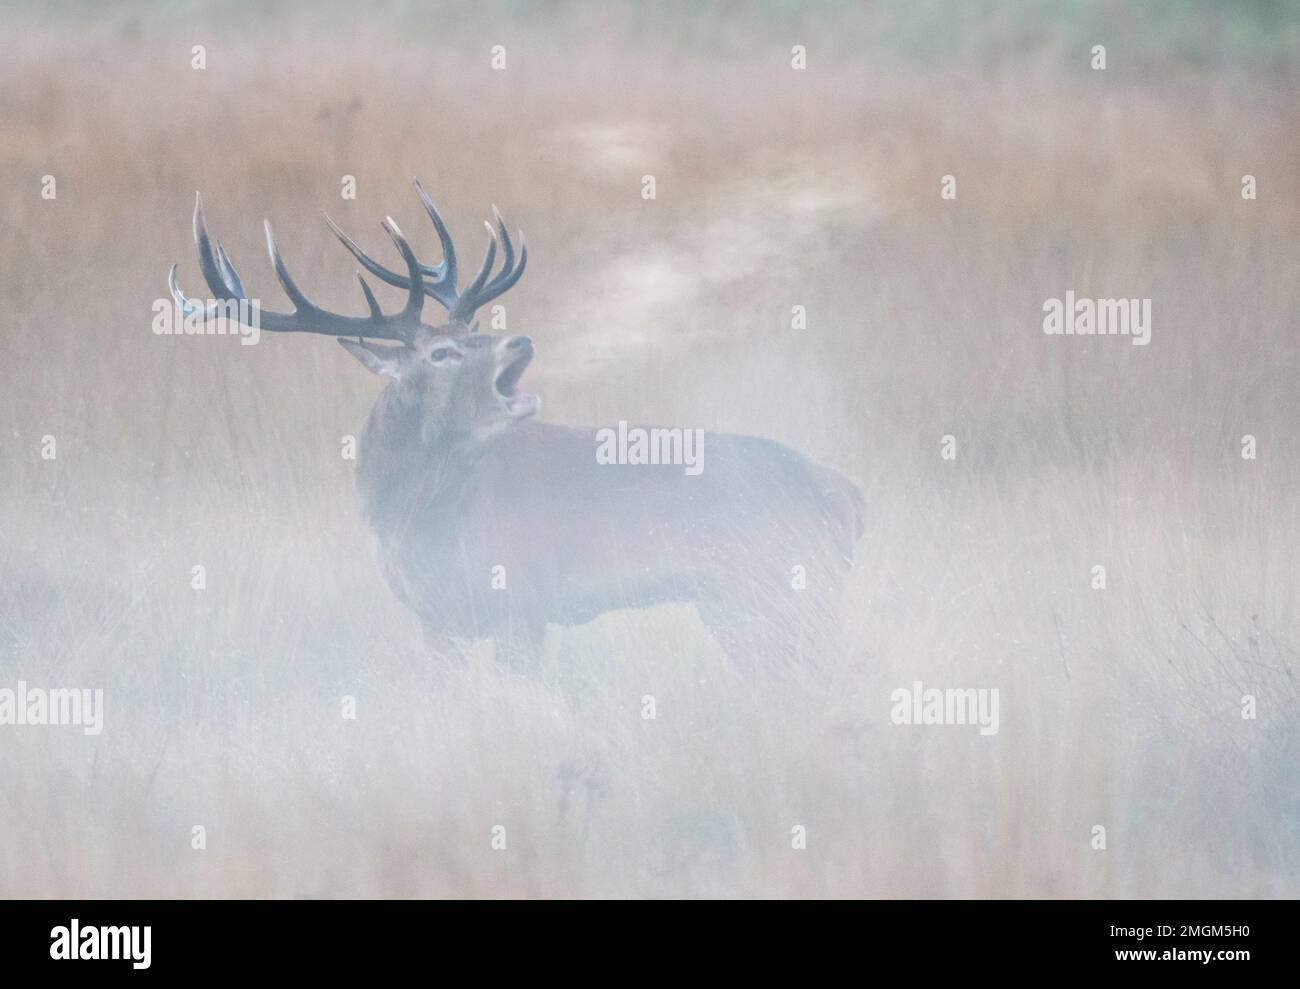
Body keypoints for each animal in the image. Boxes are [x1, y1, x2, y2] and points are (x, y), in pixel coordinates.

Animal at [170, 181, 864, 673]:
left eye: (474, 331)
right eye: (443, 351)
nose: (519, 340)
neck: (414, 518)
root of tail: (843, 493)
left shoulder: (523, 605)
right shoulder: (434, 625)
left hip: (770, 588)